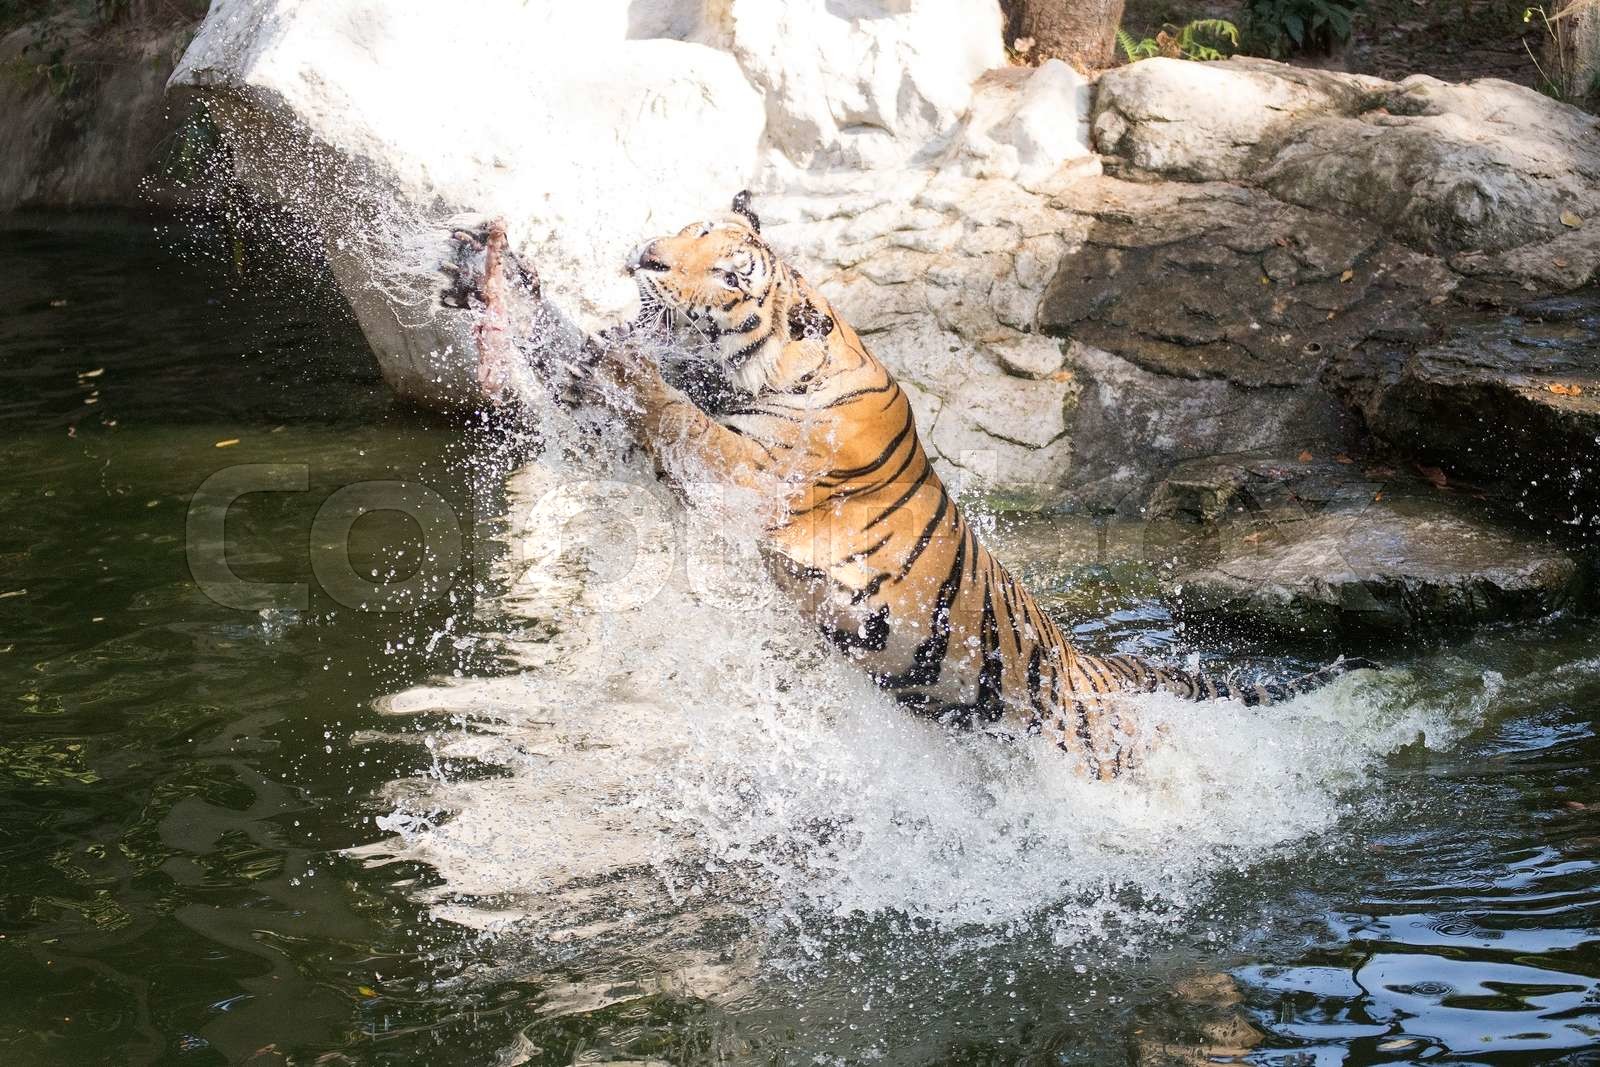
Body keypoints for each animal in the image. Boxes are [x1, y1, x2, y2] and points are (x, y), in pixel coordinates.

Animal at [442, 193, 1376, 779]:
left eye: (732, 274)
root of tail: (1099, 668)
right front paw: (496, 269)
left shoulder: (747, 477)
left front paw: (624, 360)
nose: (646, 257)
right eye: (687, 228)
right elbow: (574, 356)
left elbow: (674, 413)